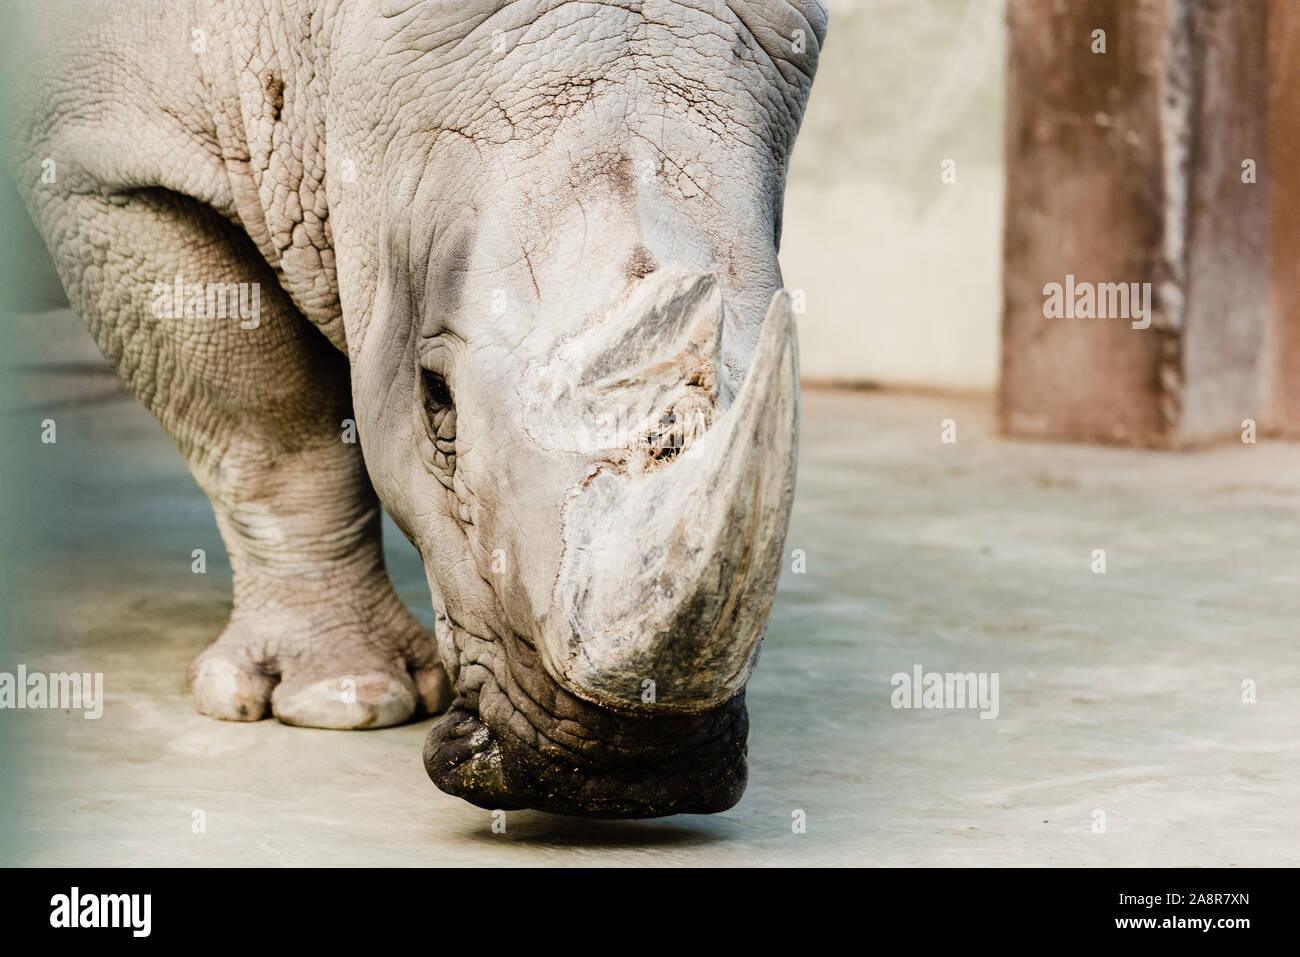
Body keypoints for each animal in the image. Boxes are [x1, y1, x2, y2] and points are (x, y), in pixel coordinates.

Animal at [4, 0, 825, 817]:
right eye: (437, 402)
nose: (620, 778)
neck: (323, 44)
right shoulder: (112, 166)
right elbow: (272, 424)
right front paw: (344, 703)